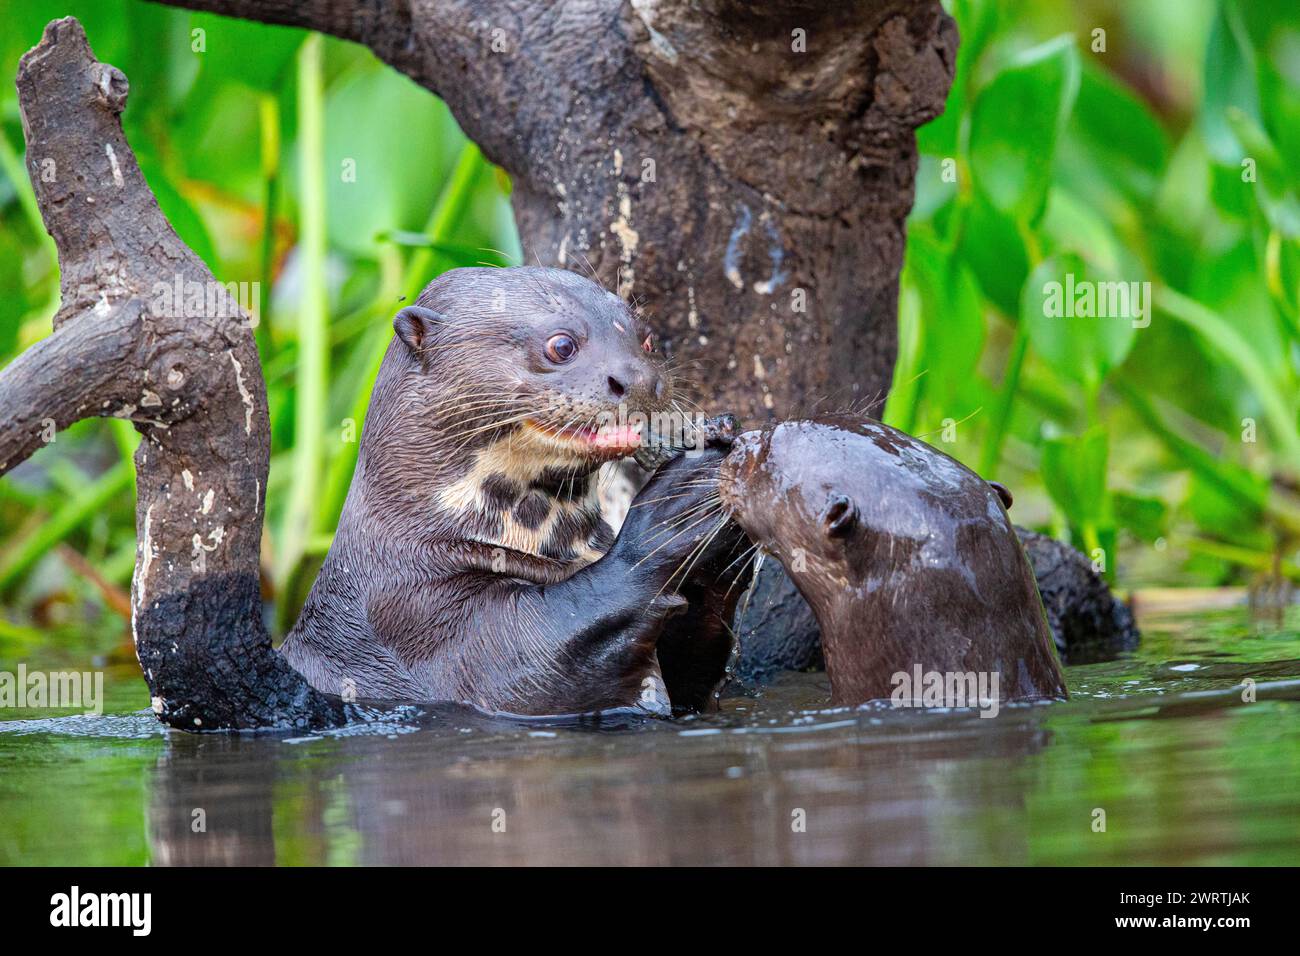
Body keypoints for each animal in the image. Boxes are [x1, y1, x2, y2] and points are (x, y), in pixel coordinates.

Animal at [282, 267, 745, 716]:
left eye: (648, 341)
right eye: (562, 345)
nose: (644, 381)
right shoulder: (419, 617)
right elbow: (540, 656)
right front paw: (675, 508)